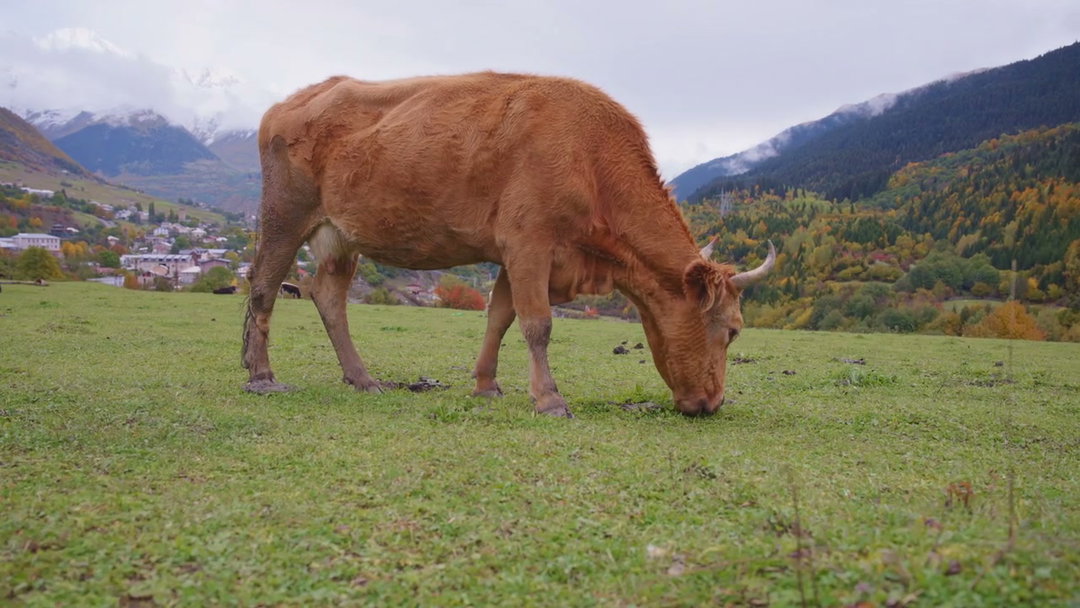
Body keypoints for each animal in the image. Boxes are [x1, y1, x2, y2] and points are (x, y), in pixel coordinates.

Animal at [242, 72, 774, 417]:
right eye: (733, 331)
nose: (712, 404)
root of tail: (288, 103)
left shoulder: (515, 254)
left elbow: (499, 317)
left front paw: (486, 386)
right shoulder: (529, 243)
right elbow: (537, 324)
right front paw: (550, 399)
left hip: (339, 237)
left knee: (328, 297)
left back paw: (363, 378)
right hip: (283, 216)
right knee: (263, 286)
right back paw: (262, 377)